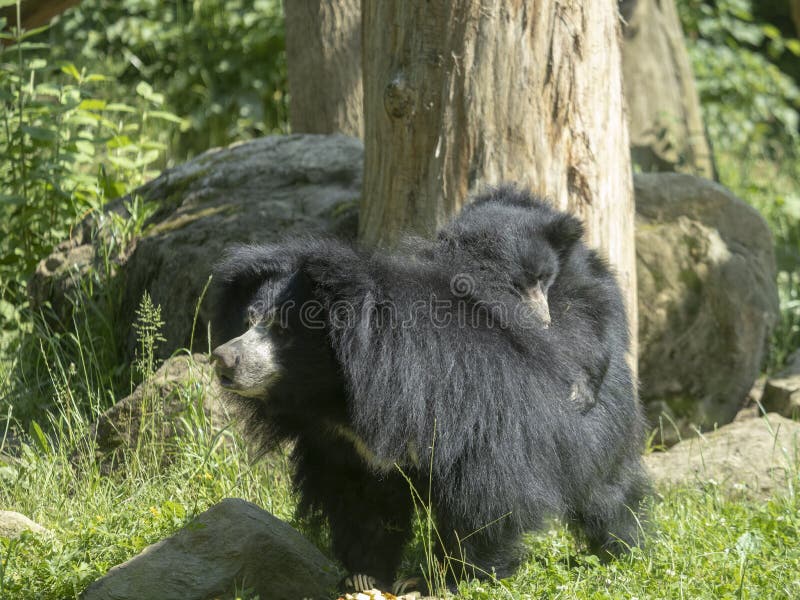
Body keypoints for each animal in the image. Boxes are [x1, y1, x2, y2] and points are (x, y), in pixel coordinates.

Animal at [210, 186, 650, 593]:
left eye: (284, 329)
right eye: (248, 320)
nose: (223, 358)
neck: (338, 396)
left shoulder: (475, 417)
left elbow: (485, 499)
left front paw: (446, 580)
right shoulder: (347, 446)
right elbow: (362, 502)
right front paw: (363, 576)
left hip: (598, 419)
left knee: (608, 493)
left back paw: (622, 551)